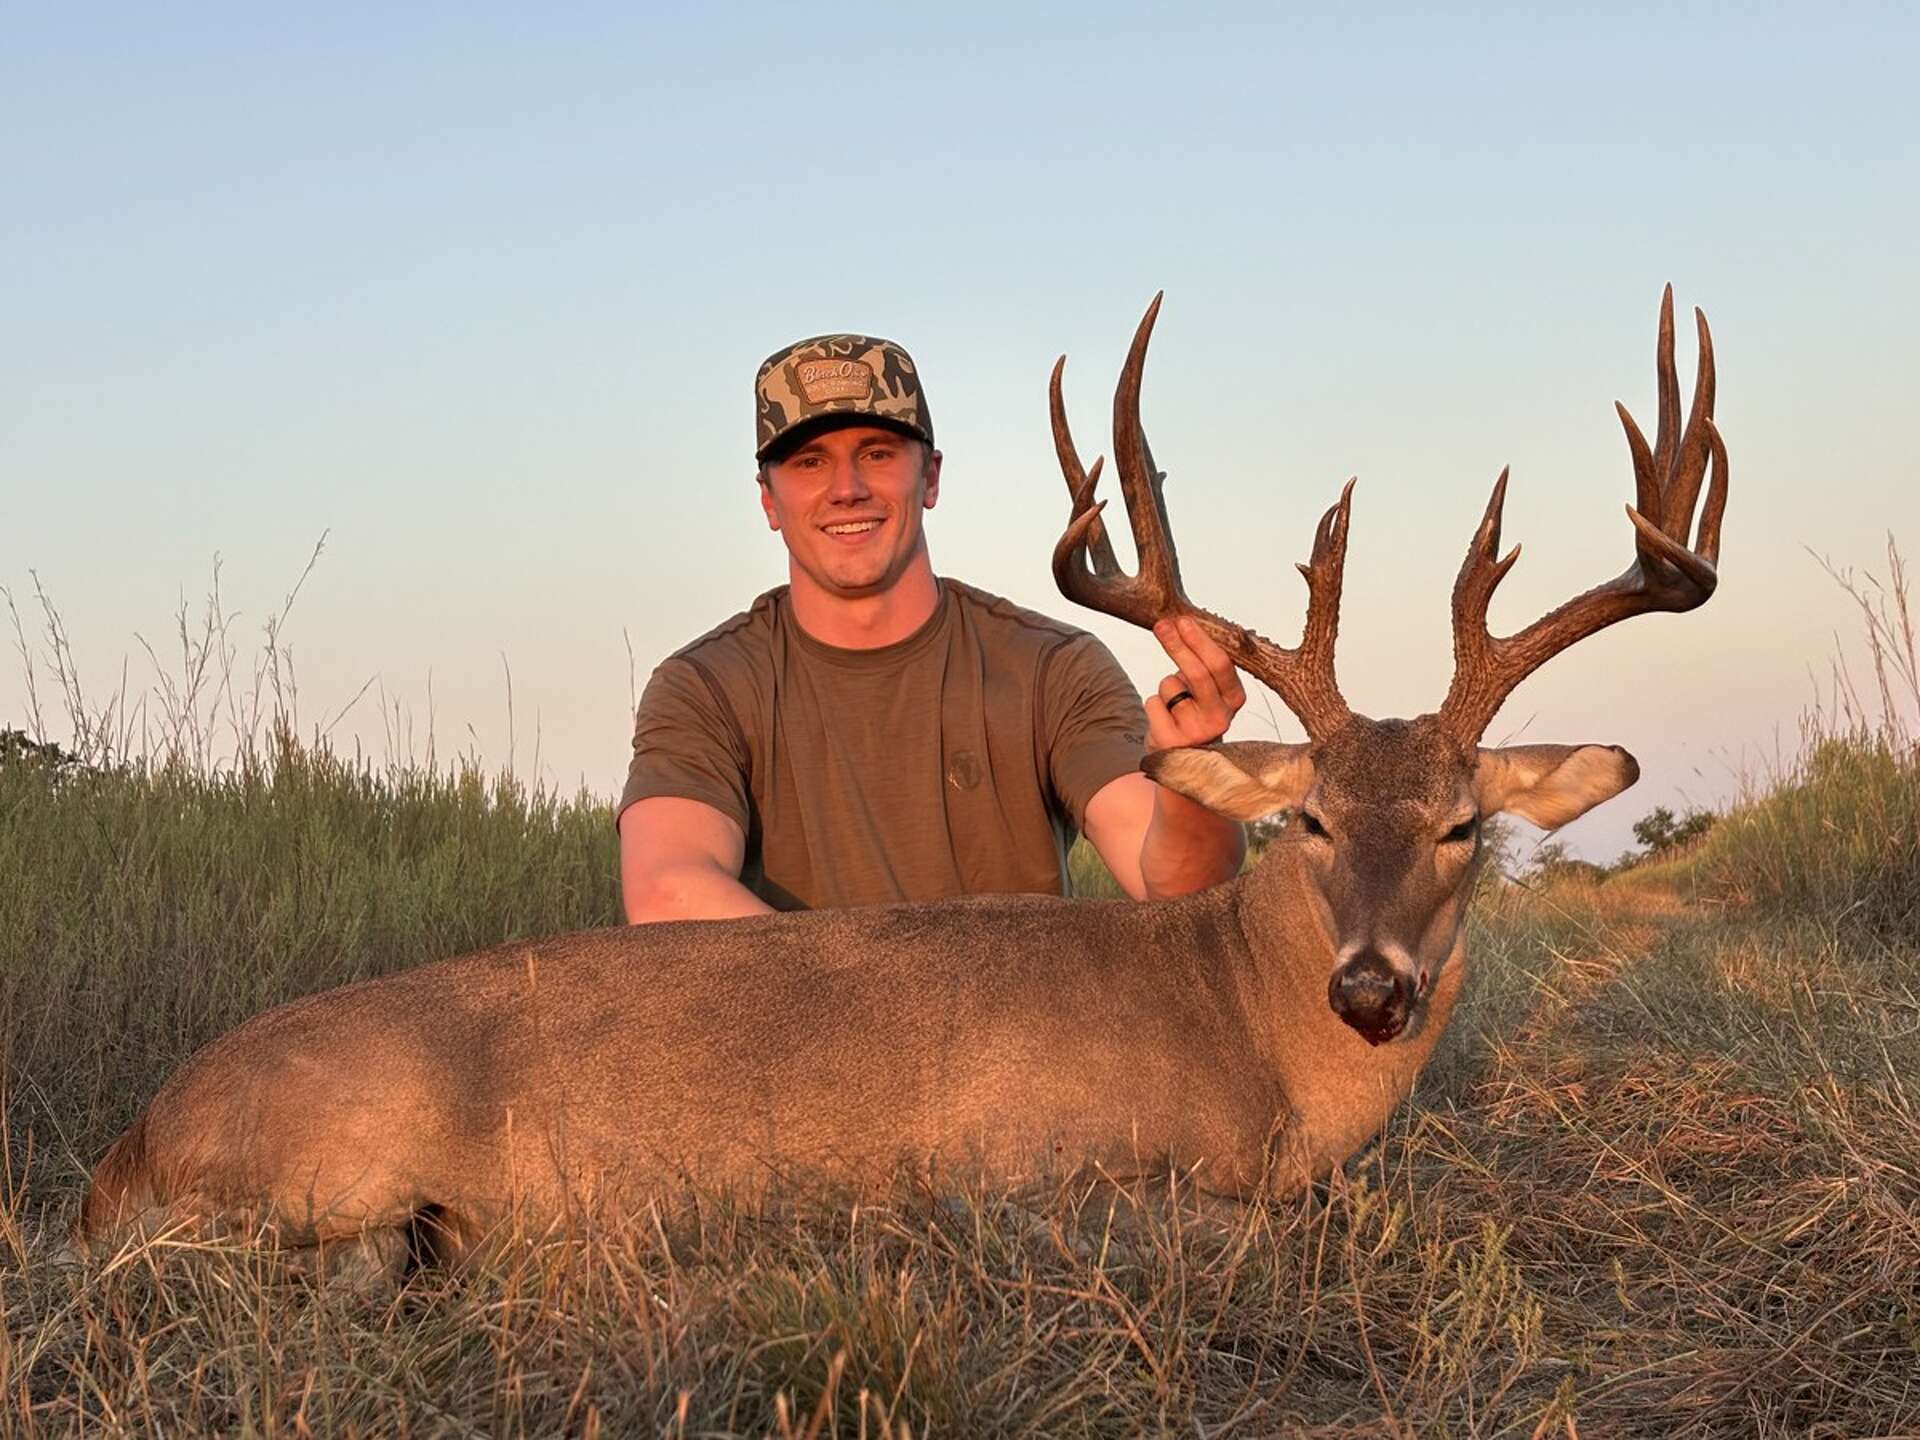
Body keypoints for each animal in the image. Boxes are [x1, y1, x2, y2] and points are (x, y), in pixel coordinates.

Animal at [80, 288, 1726, 1277]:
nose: (1373, 989)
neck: (1250, 1039)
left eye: (1463, 826)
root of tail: (134, 1138)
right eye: (1309, 818)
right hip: (330, 1162)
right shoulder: (1046, 1180)